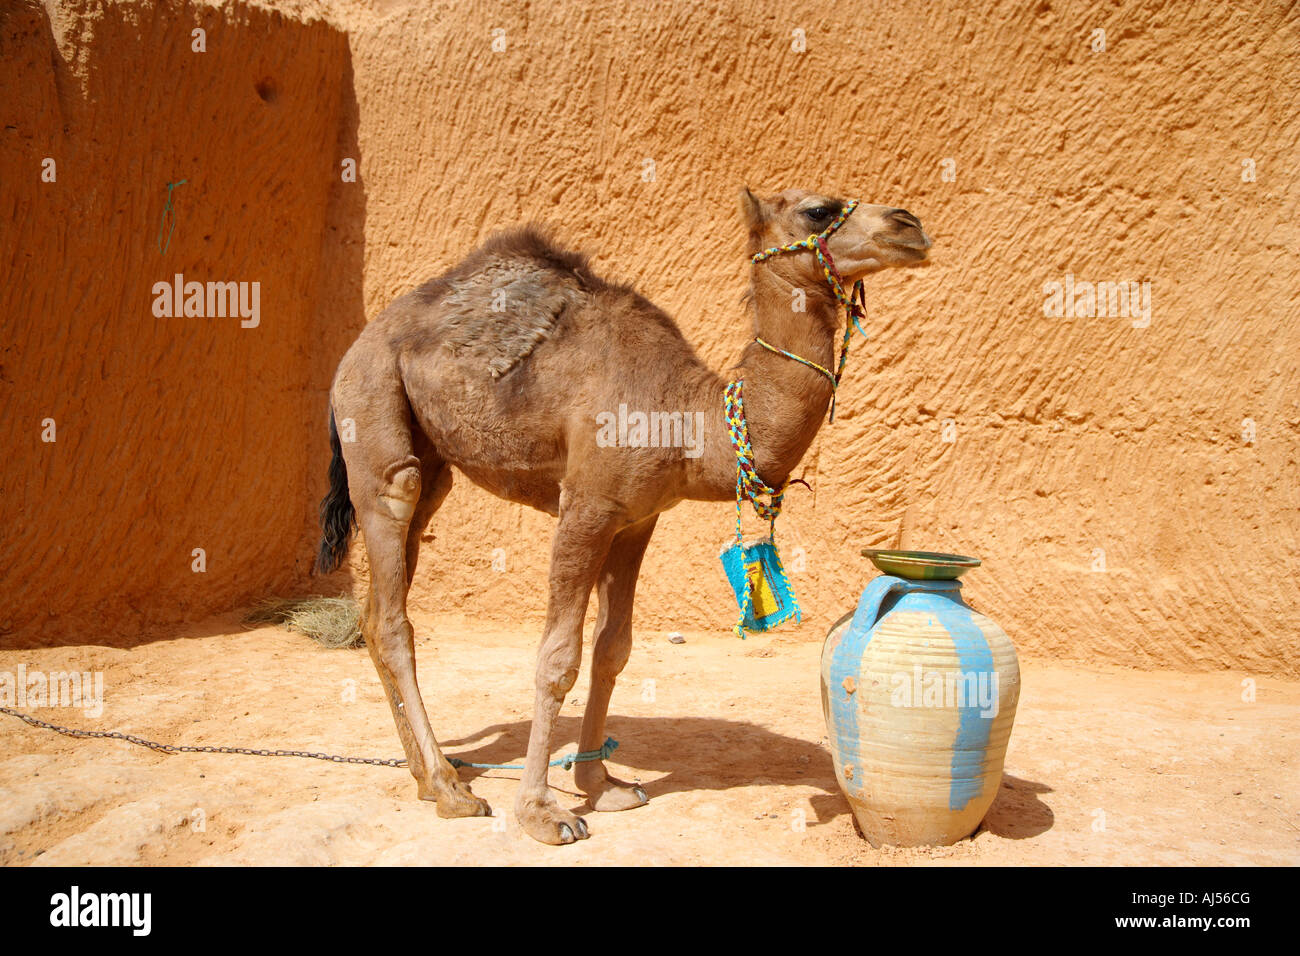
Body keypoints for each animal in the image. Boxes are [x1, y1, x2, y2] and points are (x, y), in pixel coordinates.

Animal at [314, 187, 931, 845]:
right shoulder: (586, 506)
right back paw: (452, 790)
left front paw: (601, 784)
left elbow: (614, 648)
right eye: (819, 210)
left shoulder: (637, 518)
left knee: (379, 604)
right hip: (372, 410)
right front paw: (543, 812)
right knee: (393, 592)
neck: (687, 419)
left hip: (433, 462)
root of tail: (355, 345)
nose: (910, 226)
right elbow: (558, 657)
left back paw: (429, 776)